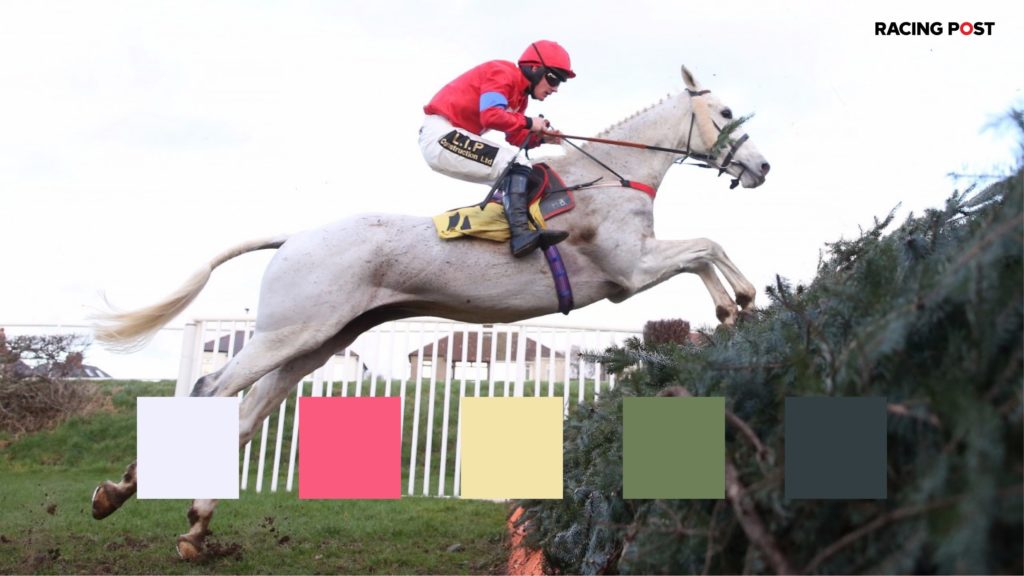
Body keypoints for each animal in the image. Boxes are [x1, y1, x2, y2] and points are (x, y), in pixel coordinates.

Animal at [90, 65, 770, 559]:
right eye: (726, 115)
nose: (762, 166)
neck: (613, 176)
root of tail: (294, 238)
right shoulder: (629, 271)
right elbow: (707, 246)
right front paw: (741, 300)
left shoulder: (635, 271)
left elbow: (706, 253)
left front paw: (733, 306)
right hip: (290, 332)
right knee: (210, 390)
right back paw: (118, 491)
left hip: (316, 342)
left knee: (245, 416)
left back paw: (196, 526)